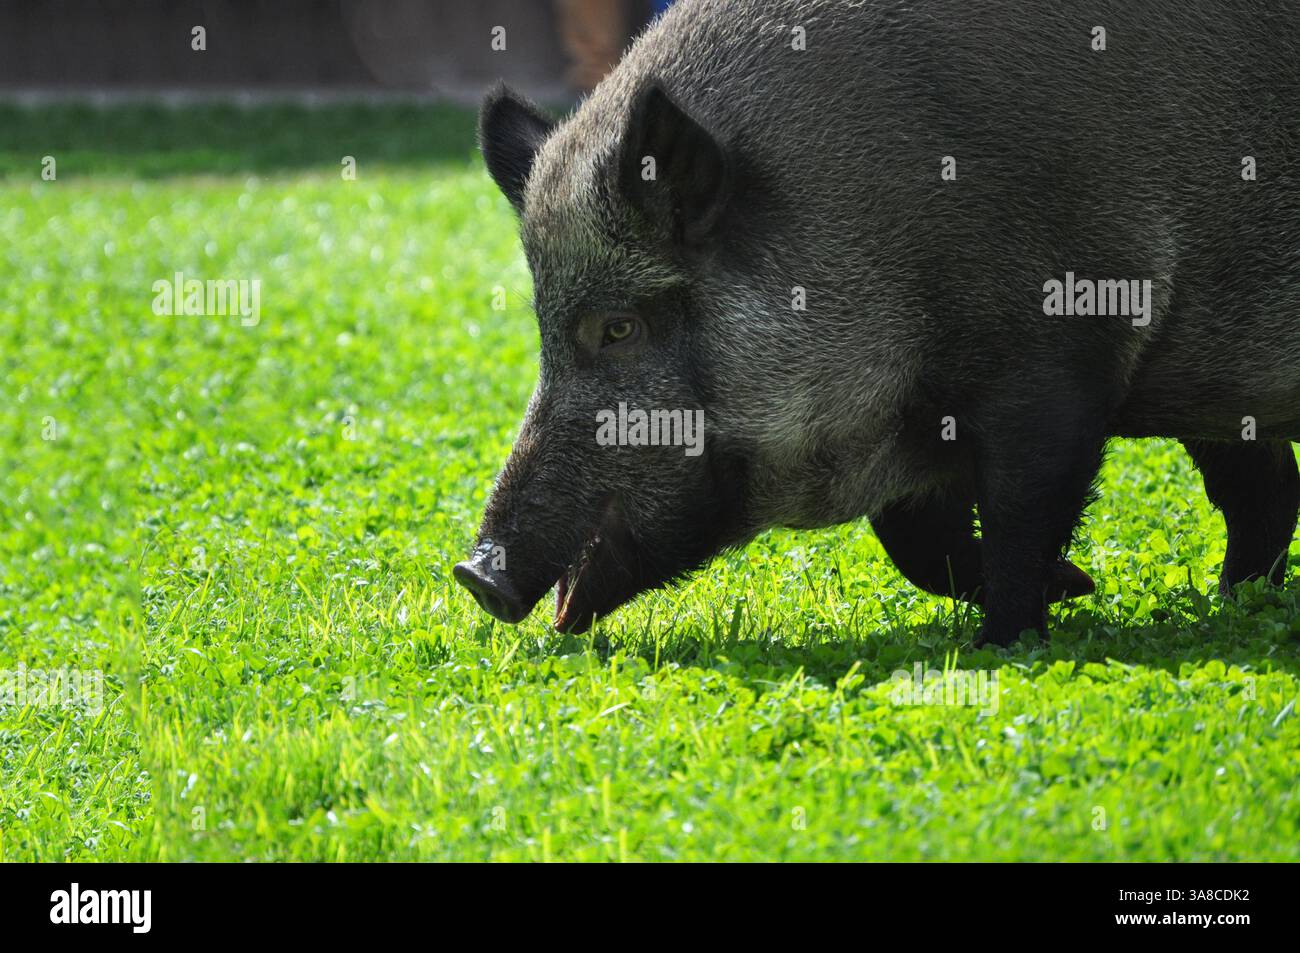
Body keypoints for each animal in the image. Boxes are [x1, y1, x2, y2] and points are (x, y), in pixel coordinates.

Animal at [454, 0, 1300, 646]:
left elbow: (1022, 511)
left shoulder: (1056, 357)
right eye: (542, 328)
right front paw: (1077, 587)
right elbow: (914, 541)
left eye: (618, 328)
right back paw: (1236, 601)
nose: (476, 572)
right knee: (1261, 485)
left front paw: (1015, 634)